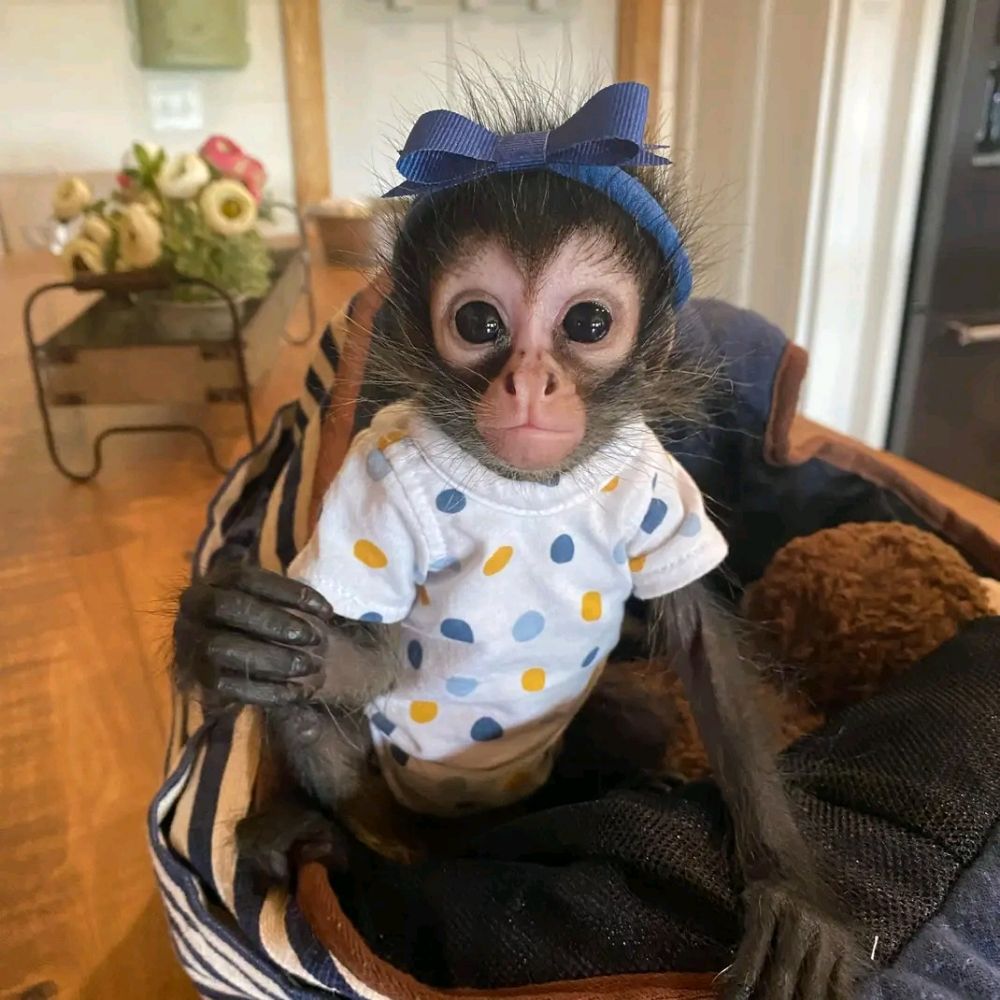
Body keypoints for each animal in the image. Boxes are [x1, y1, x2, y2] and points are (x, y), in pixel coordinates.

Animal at [173, 80, 864, 998]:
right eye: (478, 322)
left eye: (588, 322)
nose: (530, 382)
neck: (526, 492)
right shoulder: (374, 479)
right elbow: (367, 654)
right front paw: (230, 634)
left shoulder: (654, 480)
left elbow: (699, 645)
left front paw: (792, 895)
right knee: (331, 746)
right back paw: (345, 845)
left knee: (645, 712)